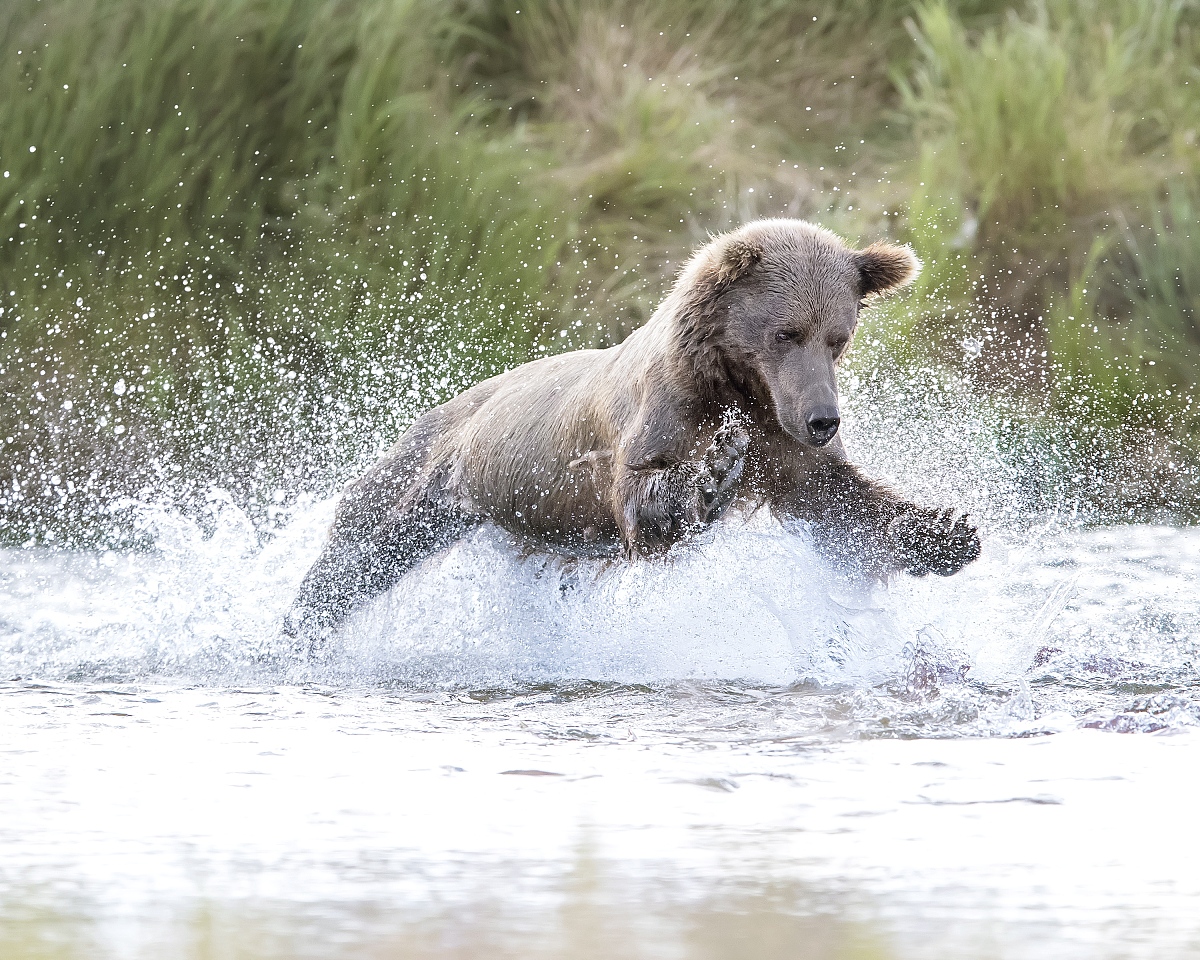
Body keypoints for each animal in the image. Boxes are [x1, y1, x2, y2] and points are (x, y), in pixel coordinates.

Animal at [284, 218, 981, 638]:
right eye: (788, 332)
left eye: (838, 338)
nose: (822, 419)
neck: (737, 387)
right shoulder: (660, 413)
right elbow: (644, 497)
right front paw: (712, 474)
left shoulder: (783, 447)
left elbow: (843, 504)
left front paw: (948, 533)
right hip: (427, 477)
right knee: (357, 554)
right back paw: (297, 628)